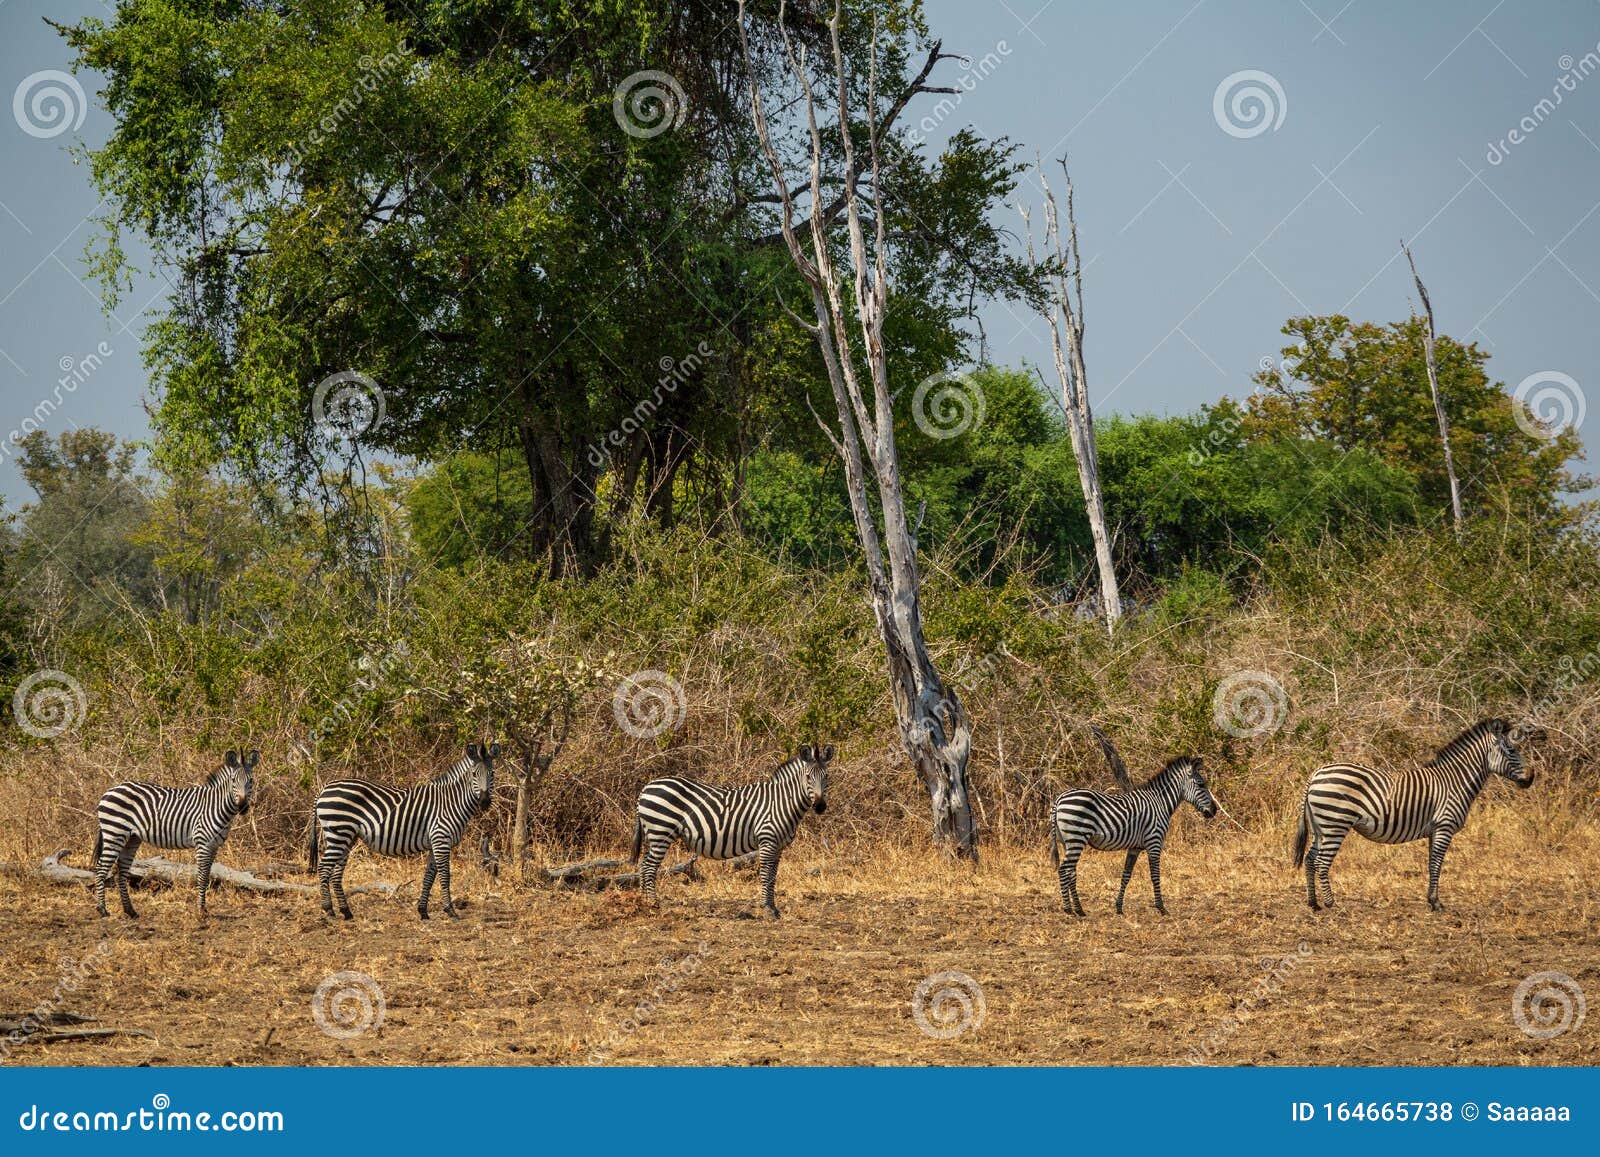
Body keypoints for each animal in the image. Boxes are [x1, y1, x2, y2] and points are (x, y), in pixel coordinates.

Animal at [93, 748, 258, 919]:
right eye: (233, 780)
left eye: (251, 780)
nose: (243, 807)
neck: (216, 806)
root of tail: (111, 790)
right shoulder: (203, 844)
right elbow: (202, 877)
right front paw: (201, 910)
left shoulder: (214, 846)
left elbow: (207, 875)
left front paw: (204, 909)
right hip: (114, 832)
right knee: (100, 869)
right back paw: (102, 909)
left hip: (132, 838)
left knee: (122, 871)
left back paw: (130, 911)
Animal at [308, 743, 498, 921]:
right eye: (474, 774)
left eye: (492, 774)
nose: (485, 802)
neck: (452, 801)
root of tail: (324, 788)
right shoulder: (441, 839)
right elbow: (445, 876)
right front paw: (450, 910)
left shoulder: (435, 843)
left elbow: (429, 876)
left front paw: (423, 911)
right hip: (338, 832)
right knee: (323, 868)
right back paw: (329, 910)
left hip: (347, 837)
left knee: (336, 873)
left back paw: (346, 912)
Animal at [630, 743, 834, 918]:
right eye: (808, 777)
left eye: (826, 777)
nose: (820, 806)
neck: (782, 803)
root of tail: (646, 787)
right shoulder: (767, 840)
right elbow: (766, 874)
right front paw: (767, 908)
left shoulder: (778, 846)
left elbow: (773, 876)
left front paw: (773, 908)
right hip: (661, 831)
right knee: (649, 866)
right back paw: (653, 903)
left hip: (653, 834)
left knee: (644, 865)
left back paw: (643, 902)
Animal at [1049, 753, 1218, 916]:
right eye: (1201, 784)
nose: (1214, 811)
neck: (1160, 802)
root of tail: (1059, 800)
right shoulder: (1154, 841)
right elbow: (1155, 875)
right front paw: (1161, 908)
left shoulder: (1134, 848)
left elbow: (1126, 876)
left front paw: (1118, 908)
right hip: (1076, 837)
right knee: (1064, 870)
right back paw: (1069, 910)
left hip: (1068, 841)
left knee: (1071, 871)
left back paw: (1079, 909)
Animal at [1294, 717, 1533, 912]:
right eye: (1512, 751)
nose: (1531, 778)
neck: (1455, 782)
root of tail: (1315, 774)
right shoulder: (1444, 826)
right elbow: (1437, 864)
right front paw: (1436, 903)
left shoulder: (1435, 830)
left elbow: (1431, 864)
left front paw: (1432, 900)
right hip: (1336, 823)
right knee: (1322, 863)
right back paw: (1332, 904)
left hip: (1321, 826)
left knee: (1310, 860)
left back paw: (1313, 904)